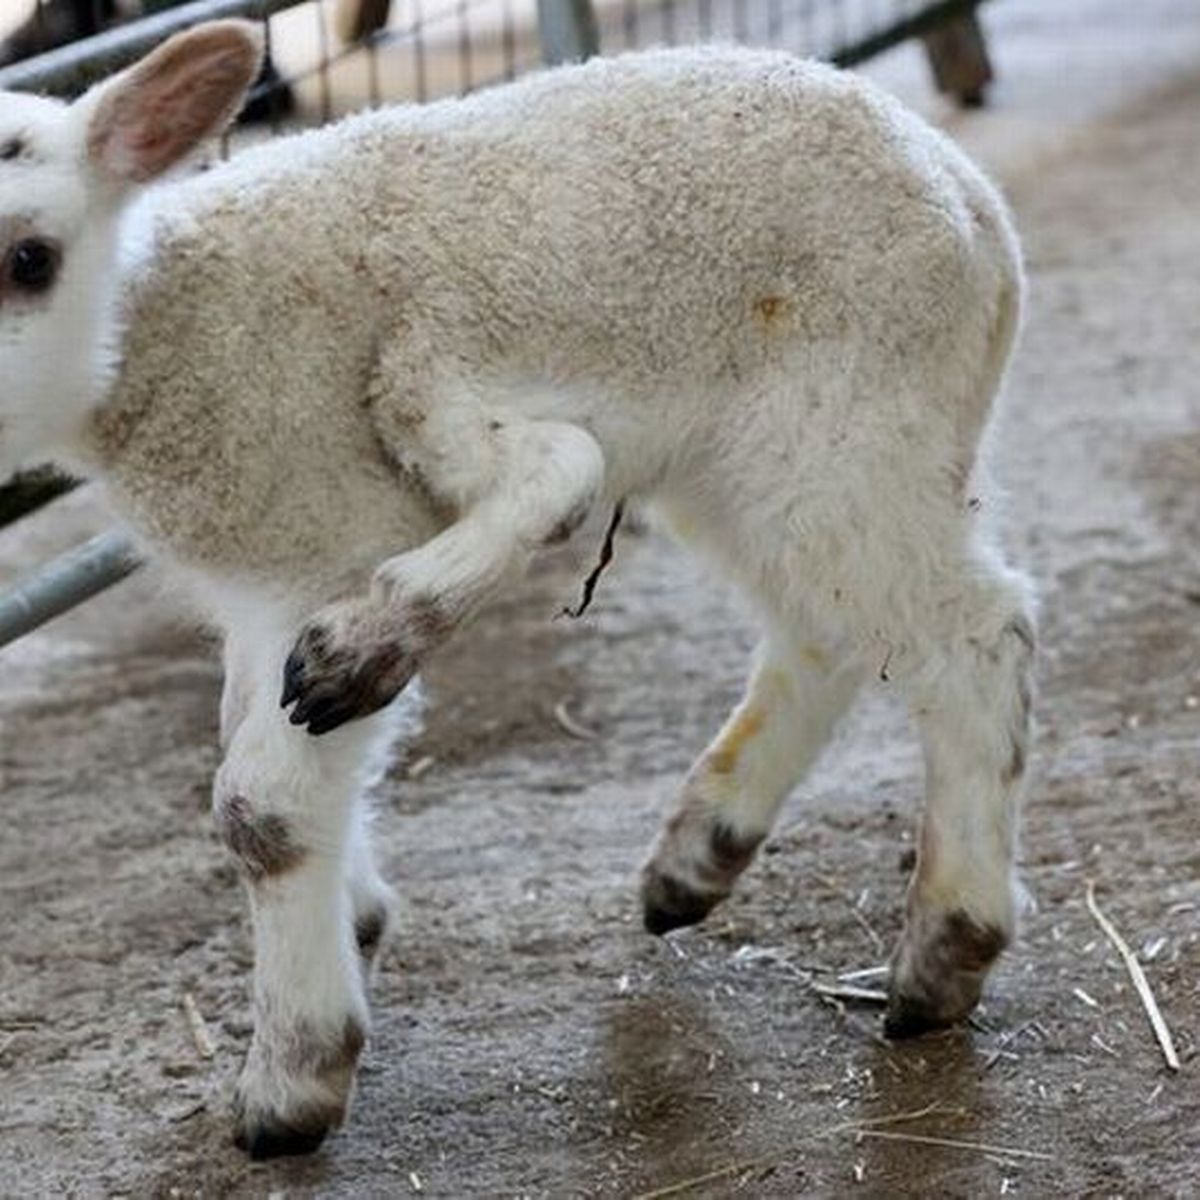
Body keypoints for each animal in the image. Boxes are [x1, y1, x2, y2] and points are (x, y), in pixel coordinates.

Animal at [0, 21, 1034, 1157]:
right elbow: (252, 741)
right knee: (827, 632)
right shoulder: (258, 580)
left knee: (970, 636)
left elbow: (261, 804)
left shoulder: (338, 523)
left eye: (28, 259)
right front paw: (358, 909)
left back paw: (943, 951)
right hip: (757, 462)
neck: (171, 324)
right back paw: (697, 857)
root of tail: (975, 204)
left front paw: (293, 1080)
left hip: (849, 417)